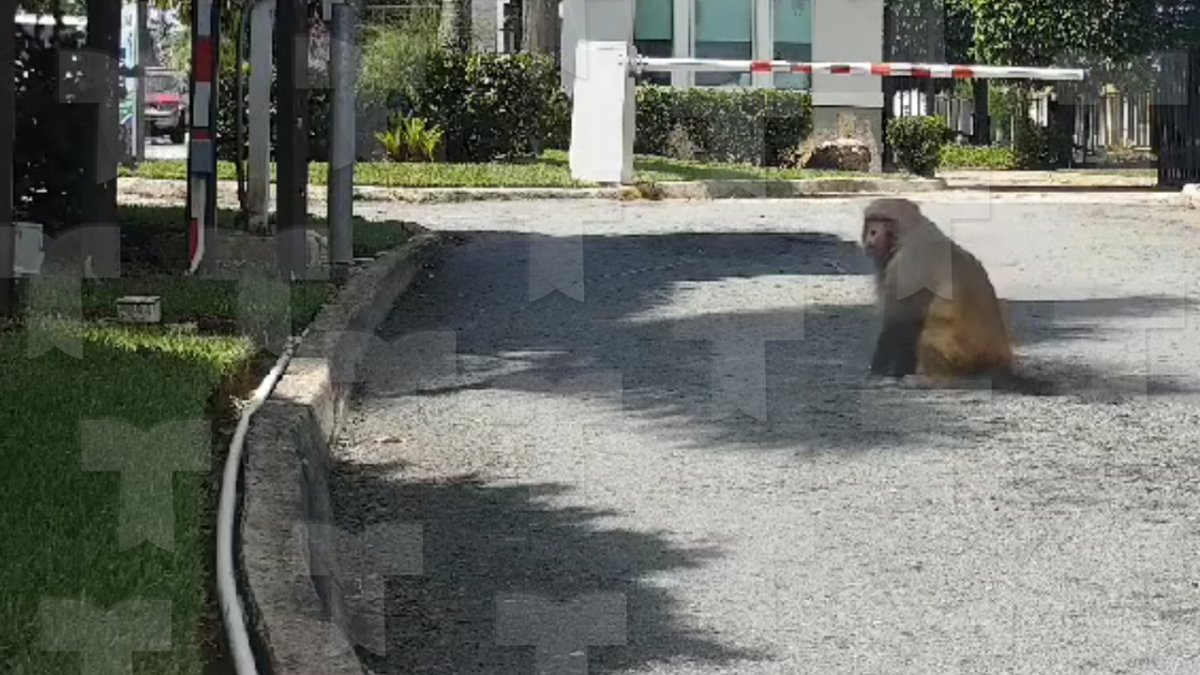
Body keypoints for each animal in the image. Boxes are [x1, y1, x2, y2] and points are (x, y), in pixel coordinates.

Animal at [860, 197, 1050, 394]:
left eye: (885, 220)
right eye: (872, 220)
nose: (873, 232)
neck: (906, 233)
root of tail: (997, 363)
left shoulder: (905, 266)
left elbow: (901, 324)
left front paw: (877, 374)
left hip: (962, 357)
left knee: (930, 329)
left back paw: (940, 381)